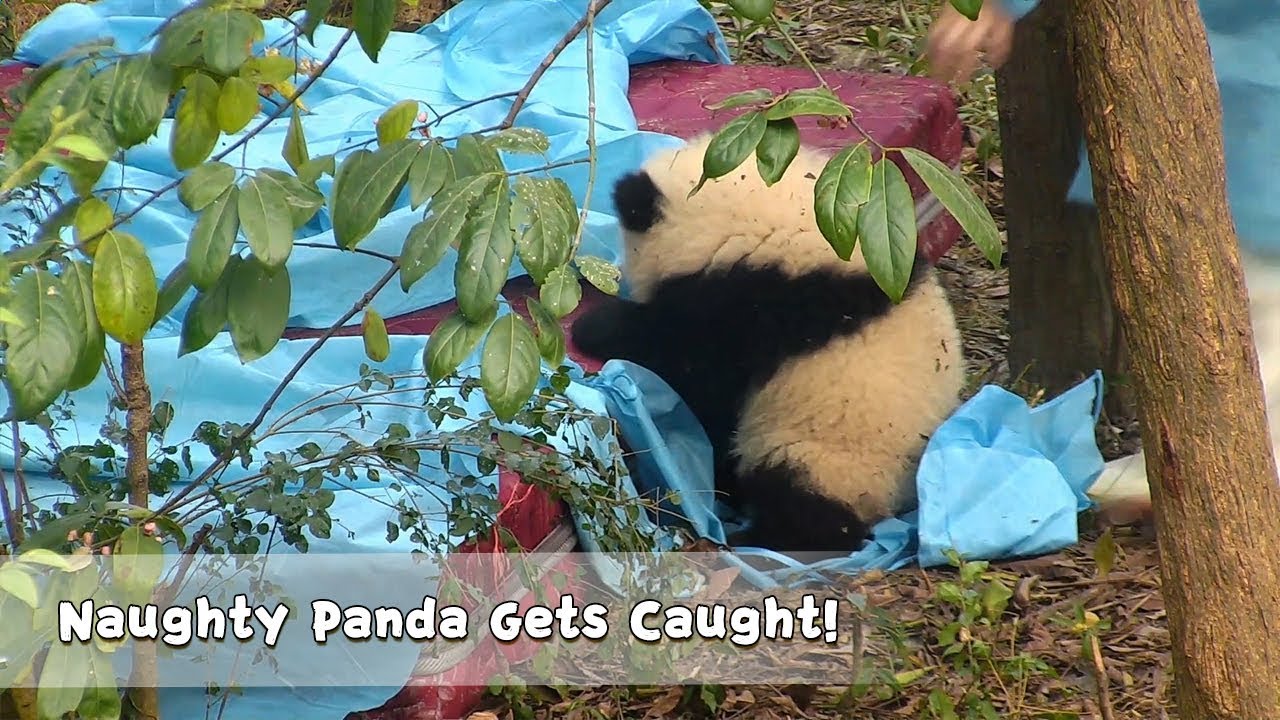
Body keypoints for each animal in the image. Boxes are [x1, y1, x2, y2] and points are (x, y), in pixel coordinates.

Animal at [570, 133, 966, 558]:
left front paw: (595, 326)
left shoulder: (753, 305)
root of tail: (901, 498)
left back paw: (759, 538)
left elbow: (689, 363)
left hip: (832, 451)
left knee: (799, 493)